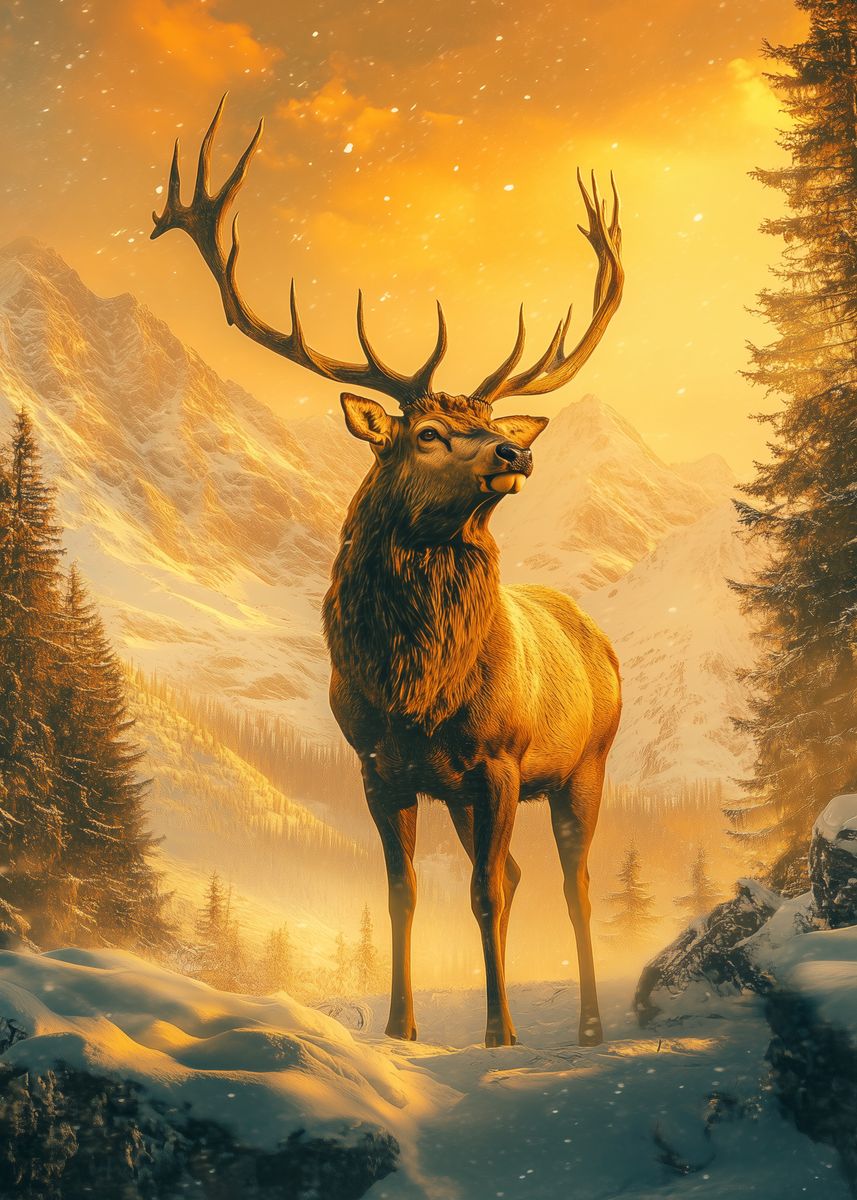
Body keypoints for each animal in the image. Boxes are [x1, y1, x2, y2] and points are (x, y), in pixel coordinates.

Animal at [152, 97, 623, 1048]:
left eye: (489, 423)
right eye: (427, 433)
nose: (515, 451)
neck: (416, 685)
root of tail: (603, 643)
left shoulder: (499, 759)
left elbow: (479, 895)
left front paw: (499, 1035)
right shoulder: (379, 764)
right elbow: (404, 897)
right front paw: (402, 1030)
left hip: (583, 763)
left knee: (571, 883)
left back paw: (591, 1026)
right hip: (474, 793)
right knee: (520, 878)